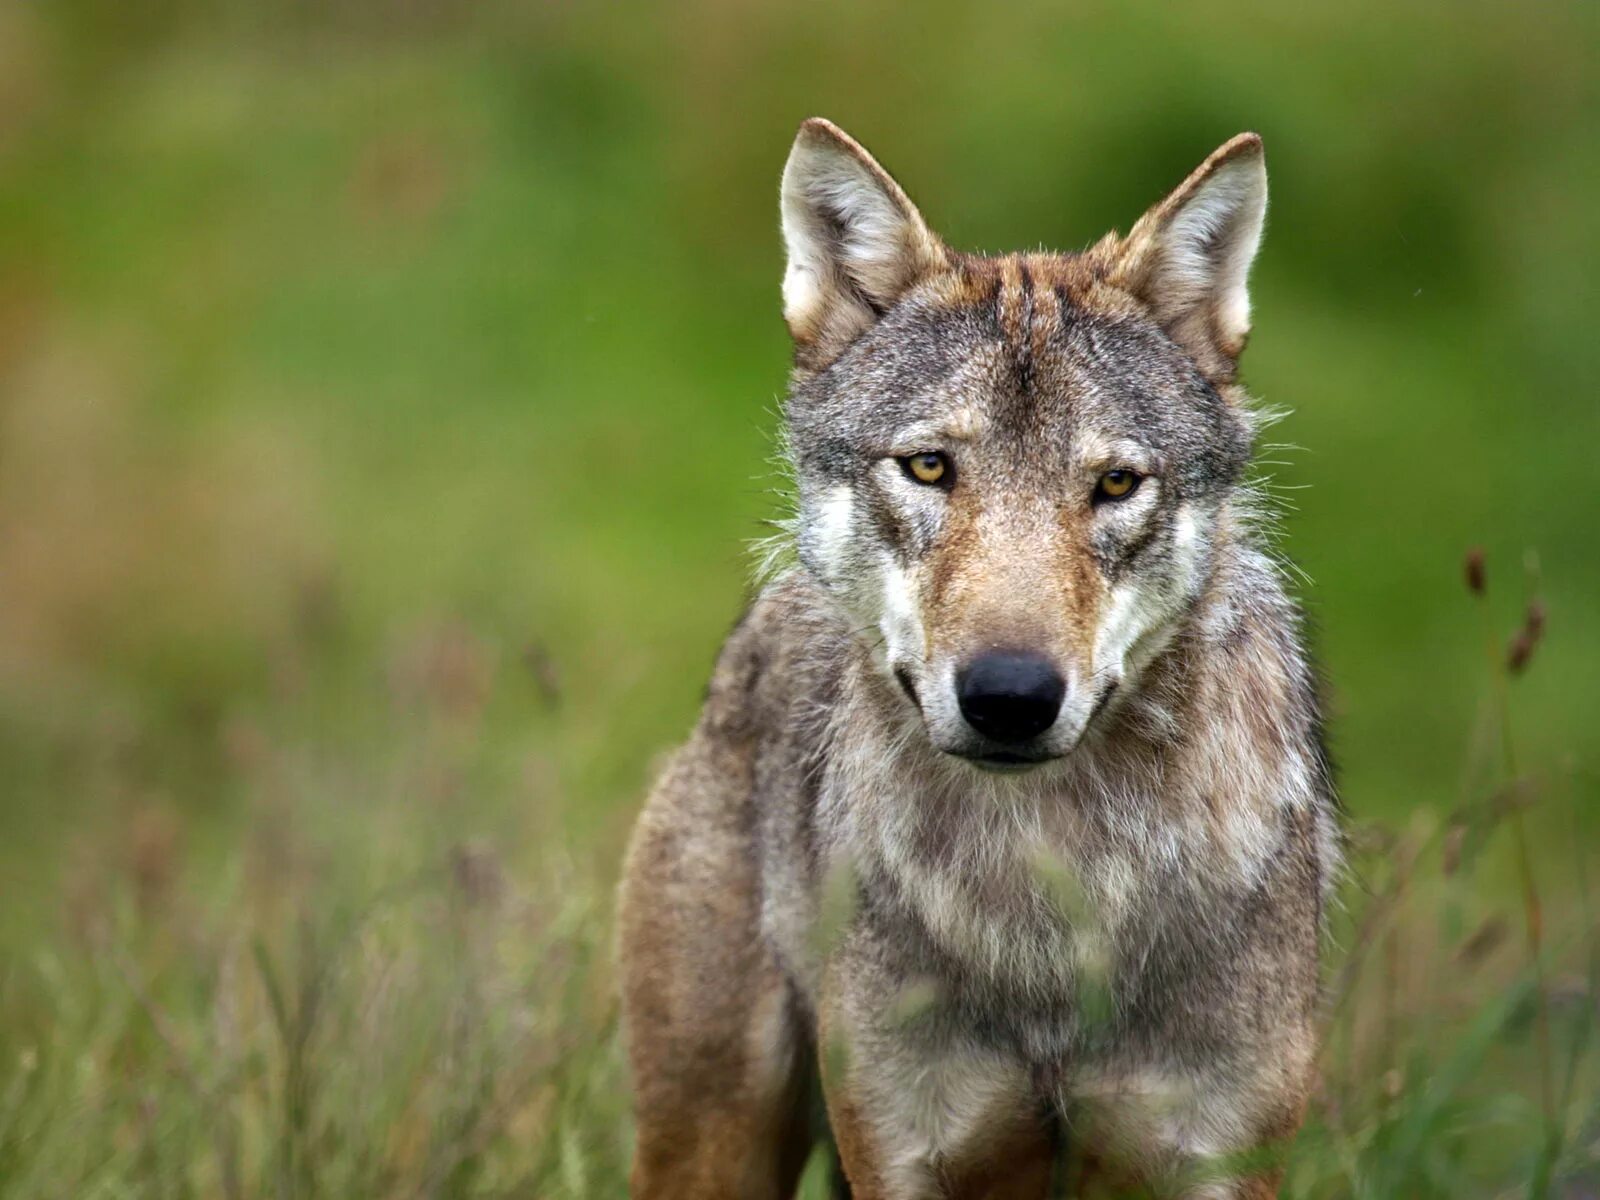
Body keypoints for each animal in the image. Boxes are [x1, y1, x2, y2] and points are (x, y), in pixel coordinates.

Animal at [614, 115, 1337, 1200]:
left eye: (1116, 484)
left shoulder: (1223, 1161)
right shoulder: (904, 1154)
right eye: (928, 468)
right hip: (714, 1145)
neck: (1042, 903)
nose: (1008, 696)